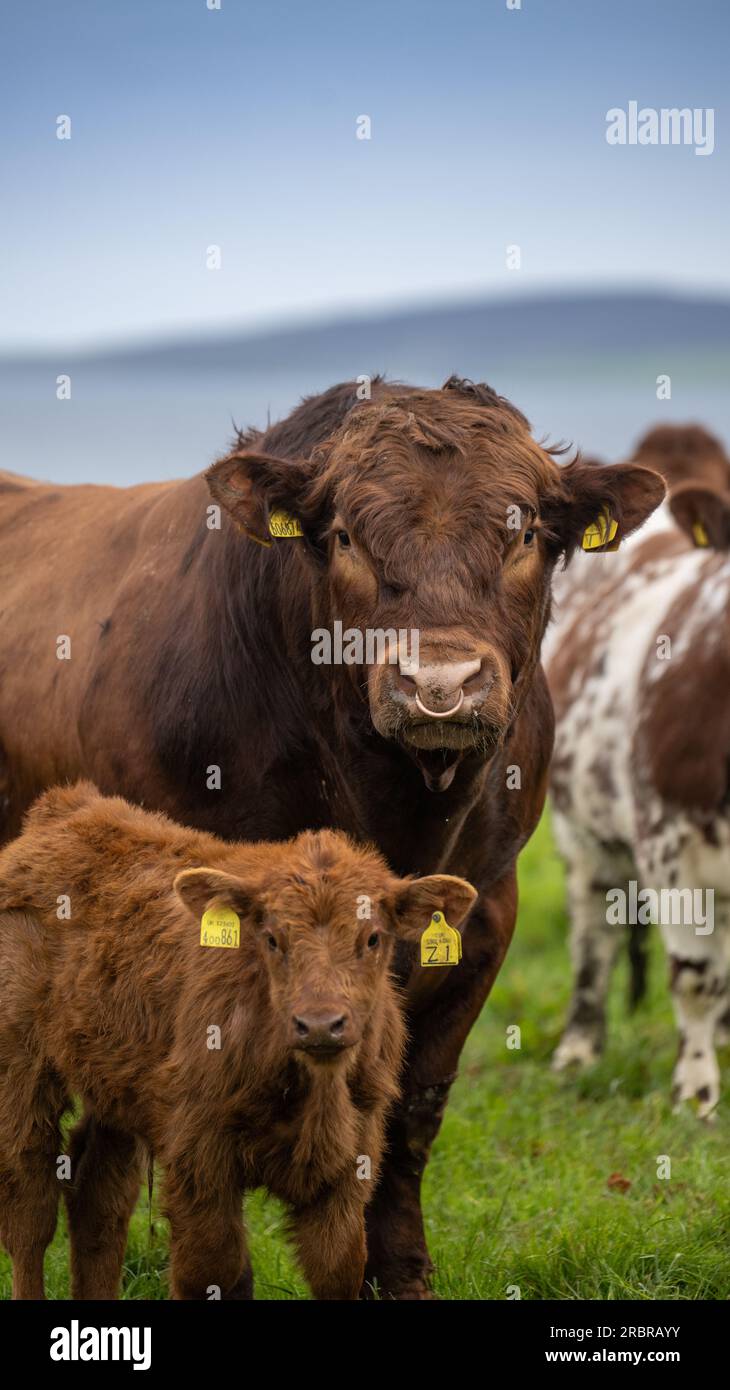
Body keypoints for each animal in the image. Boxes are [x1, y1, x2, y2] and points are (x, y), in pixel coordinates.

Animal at [0, 780, 477, 1300]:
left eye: (372, 938)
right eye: (271, 938)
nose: (320, 1024)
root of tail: (68, 807)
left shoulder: (351, 1167)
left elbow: (338, 1268)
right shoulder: (200, 1161)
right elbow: (213, 1270)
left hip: (116, 1086)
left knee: (98, 1199)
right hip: (20, 1070)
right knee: (29, 1207)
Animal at [547, 424, 730, 1117]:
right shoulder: (669, 847)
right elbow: (695, 979)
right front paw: (696, 1093)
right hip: (584, 834)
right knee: (592, 930)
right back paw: (578, 1049)